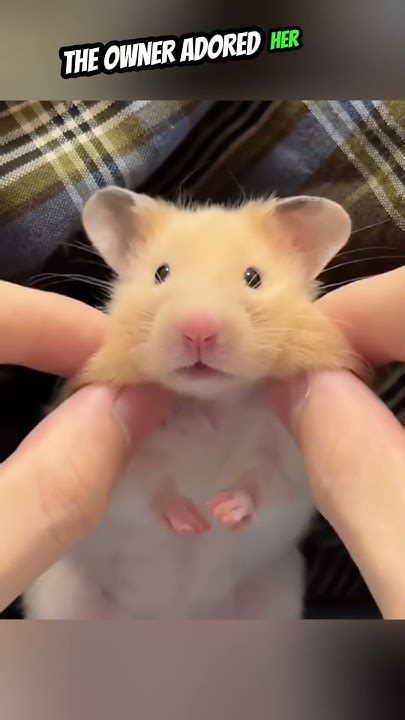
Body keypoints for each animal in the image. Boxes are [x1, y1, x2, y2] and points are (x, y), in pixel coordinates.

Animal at [24, 188, 359, 619]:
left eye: (253, 277)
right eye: (161, 273)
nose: (198, 330)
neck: (209, 404)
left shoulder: (287, 459)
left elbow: (263, 484)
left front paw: (222, 511)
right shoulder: (128, 473)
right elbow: (149, 485)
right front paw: (190, 521)